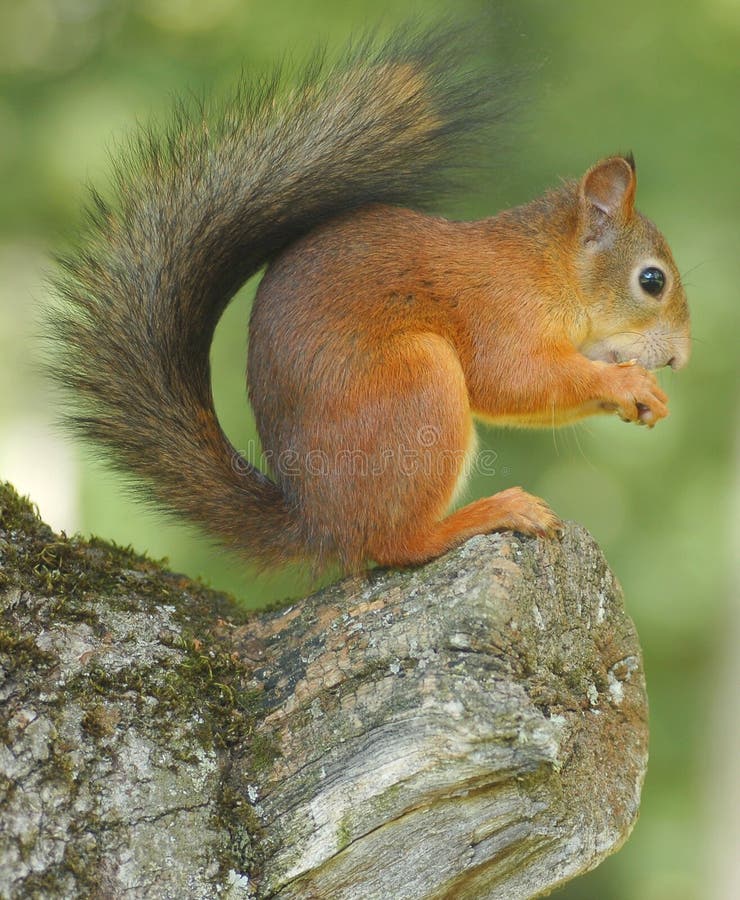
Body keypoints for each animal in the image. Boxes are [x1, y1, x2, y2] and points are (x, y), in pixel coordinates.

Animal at [51, 28, 690, 574]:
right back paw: (489, 514)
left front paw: (646, 395)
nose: (680, 360)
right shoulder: (499, 311)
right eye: (652, 281)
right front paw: (623, 382)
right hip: (415, 386)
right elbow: (510, 380)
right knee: (395, 544)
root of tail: (319, 522)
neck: (549, 269)